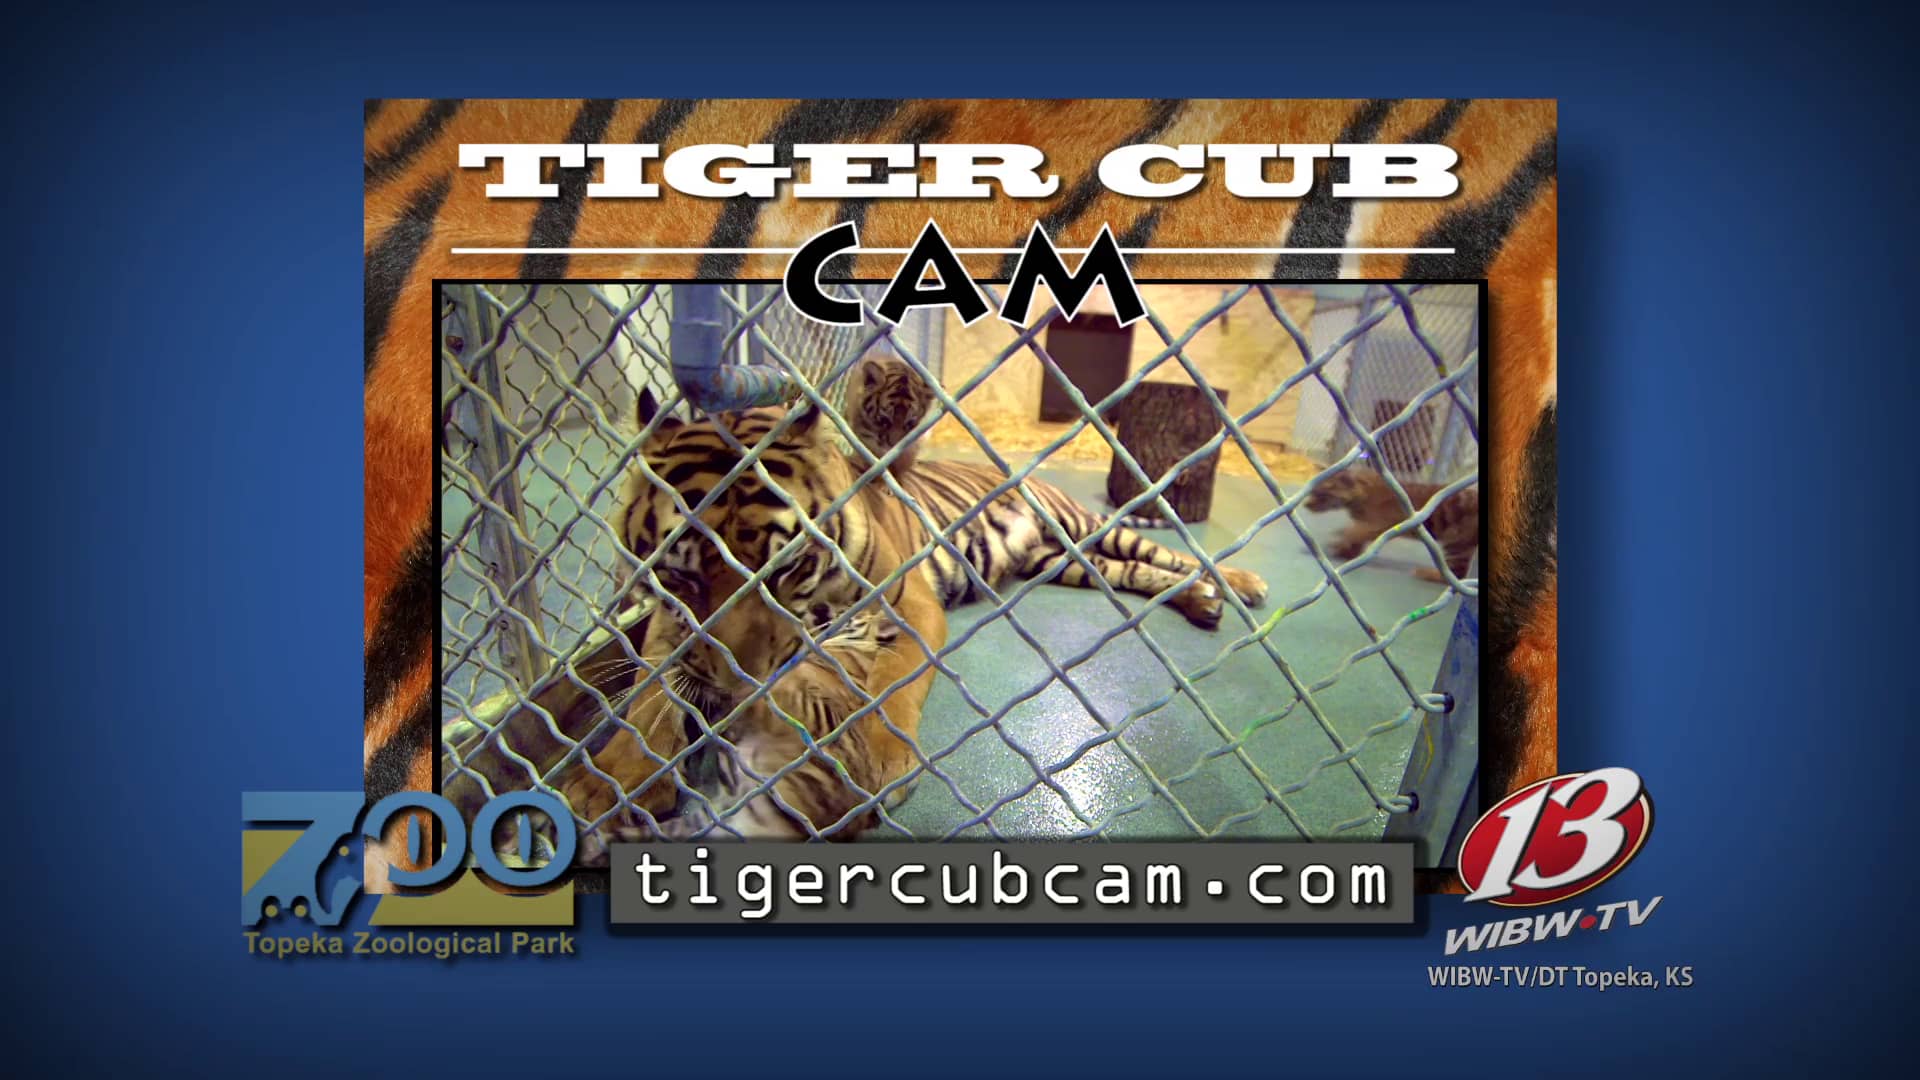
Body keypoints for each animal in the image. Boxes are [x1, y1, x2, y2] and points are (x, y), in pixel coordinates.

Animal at [556, 394, 948, 850]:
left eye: (785, 567)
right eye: (684, 576)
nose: (741, 687)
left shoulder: (908, 604)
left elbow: (892, 680)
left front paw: (877, 753)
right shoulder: (668, 624)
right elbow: (649, 692)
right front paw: (612, 779)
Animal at [1304, 467, 1481, 583]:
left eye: (1321, 494)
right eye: (1312, 491)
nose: (1305, 505)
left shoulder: (1378, 525)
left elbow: (1353, 532)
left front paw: (1341, 543)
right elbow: (1355, 537)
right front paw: (1347, 552)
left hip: (1456, 544)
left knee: (1457, 574)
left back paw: (1425, 573)